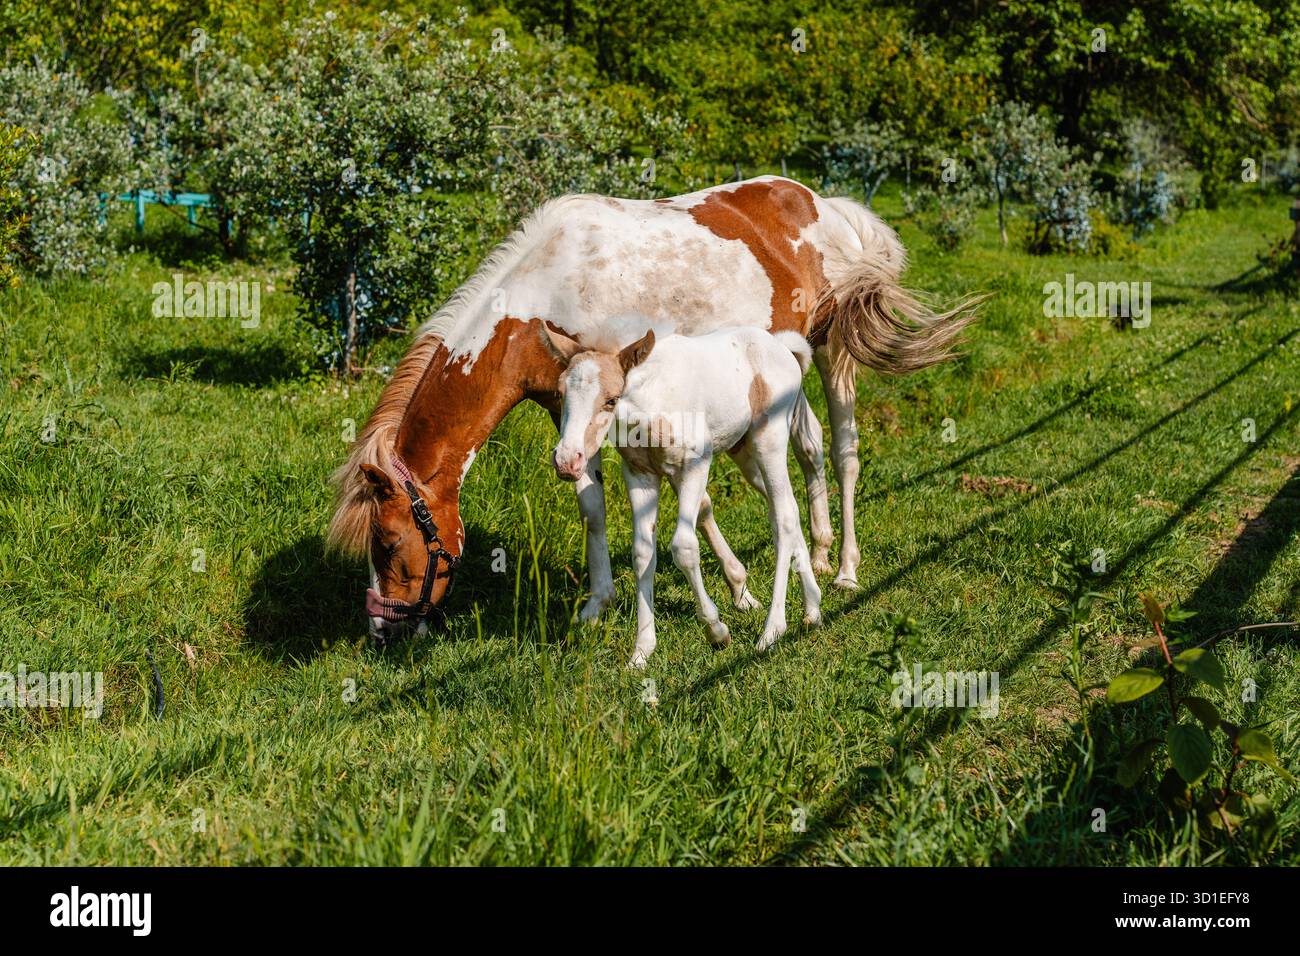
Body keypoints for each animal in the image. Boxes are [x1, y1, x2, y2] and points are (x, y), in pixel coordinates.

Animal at [548, 324, 822, 667]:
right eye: (560, 393)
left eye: (611, 400)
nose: (566, 461)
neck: (652, 405)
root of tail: (782, 348)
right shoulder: (640, 475)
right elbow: (643, 554)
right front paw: (642, 650)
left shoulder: (695, 466)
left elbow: (684, 547)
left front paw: (716, 630)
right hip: (745, 452)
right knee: (788, 510)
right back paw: (813, 609)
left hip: (768, 441)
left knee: (783, 519)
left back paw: (772, 630)